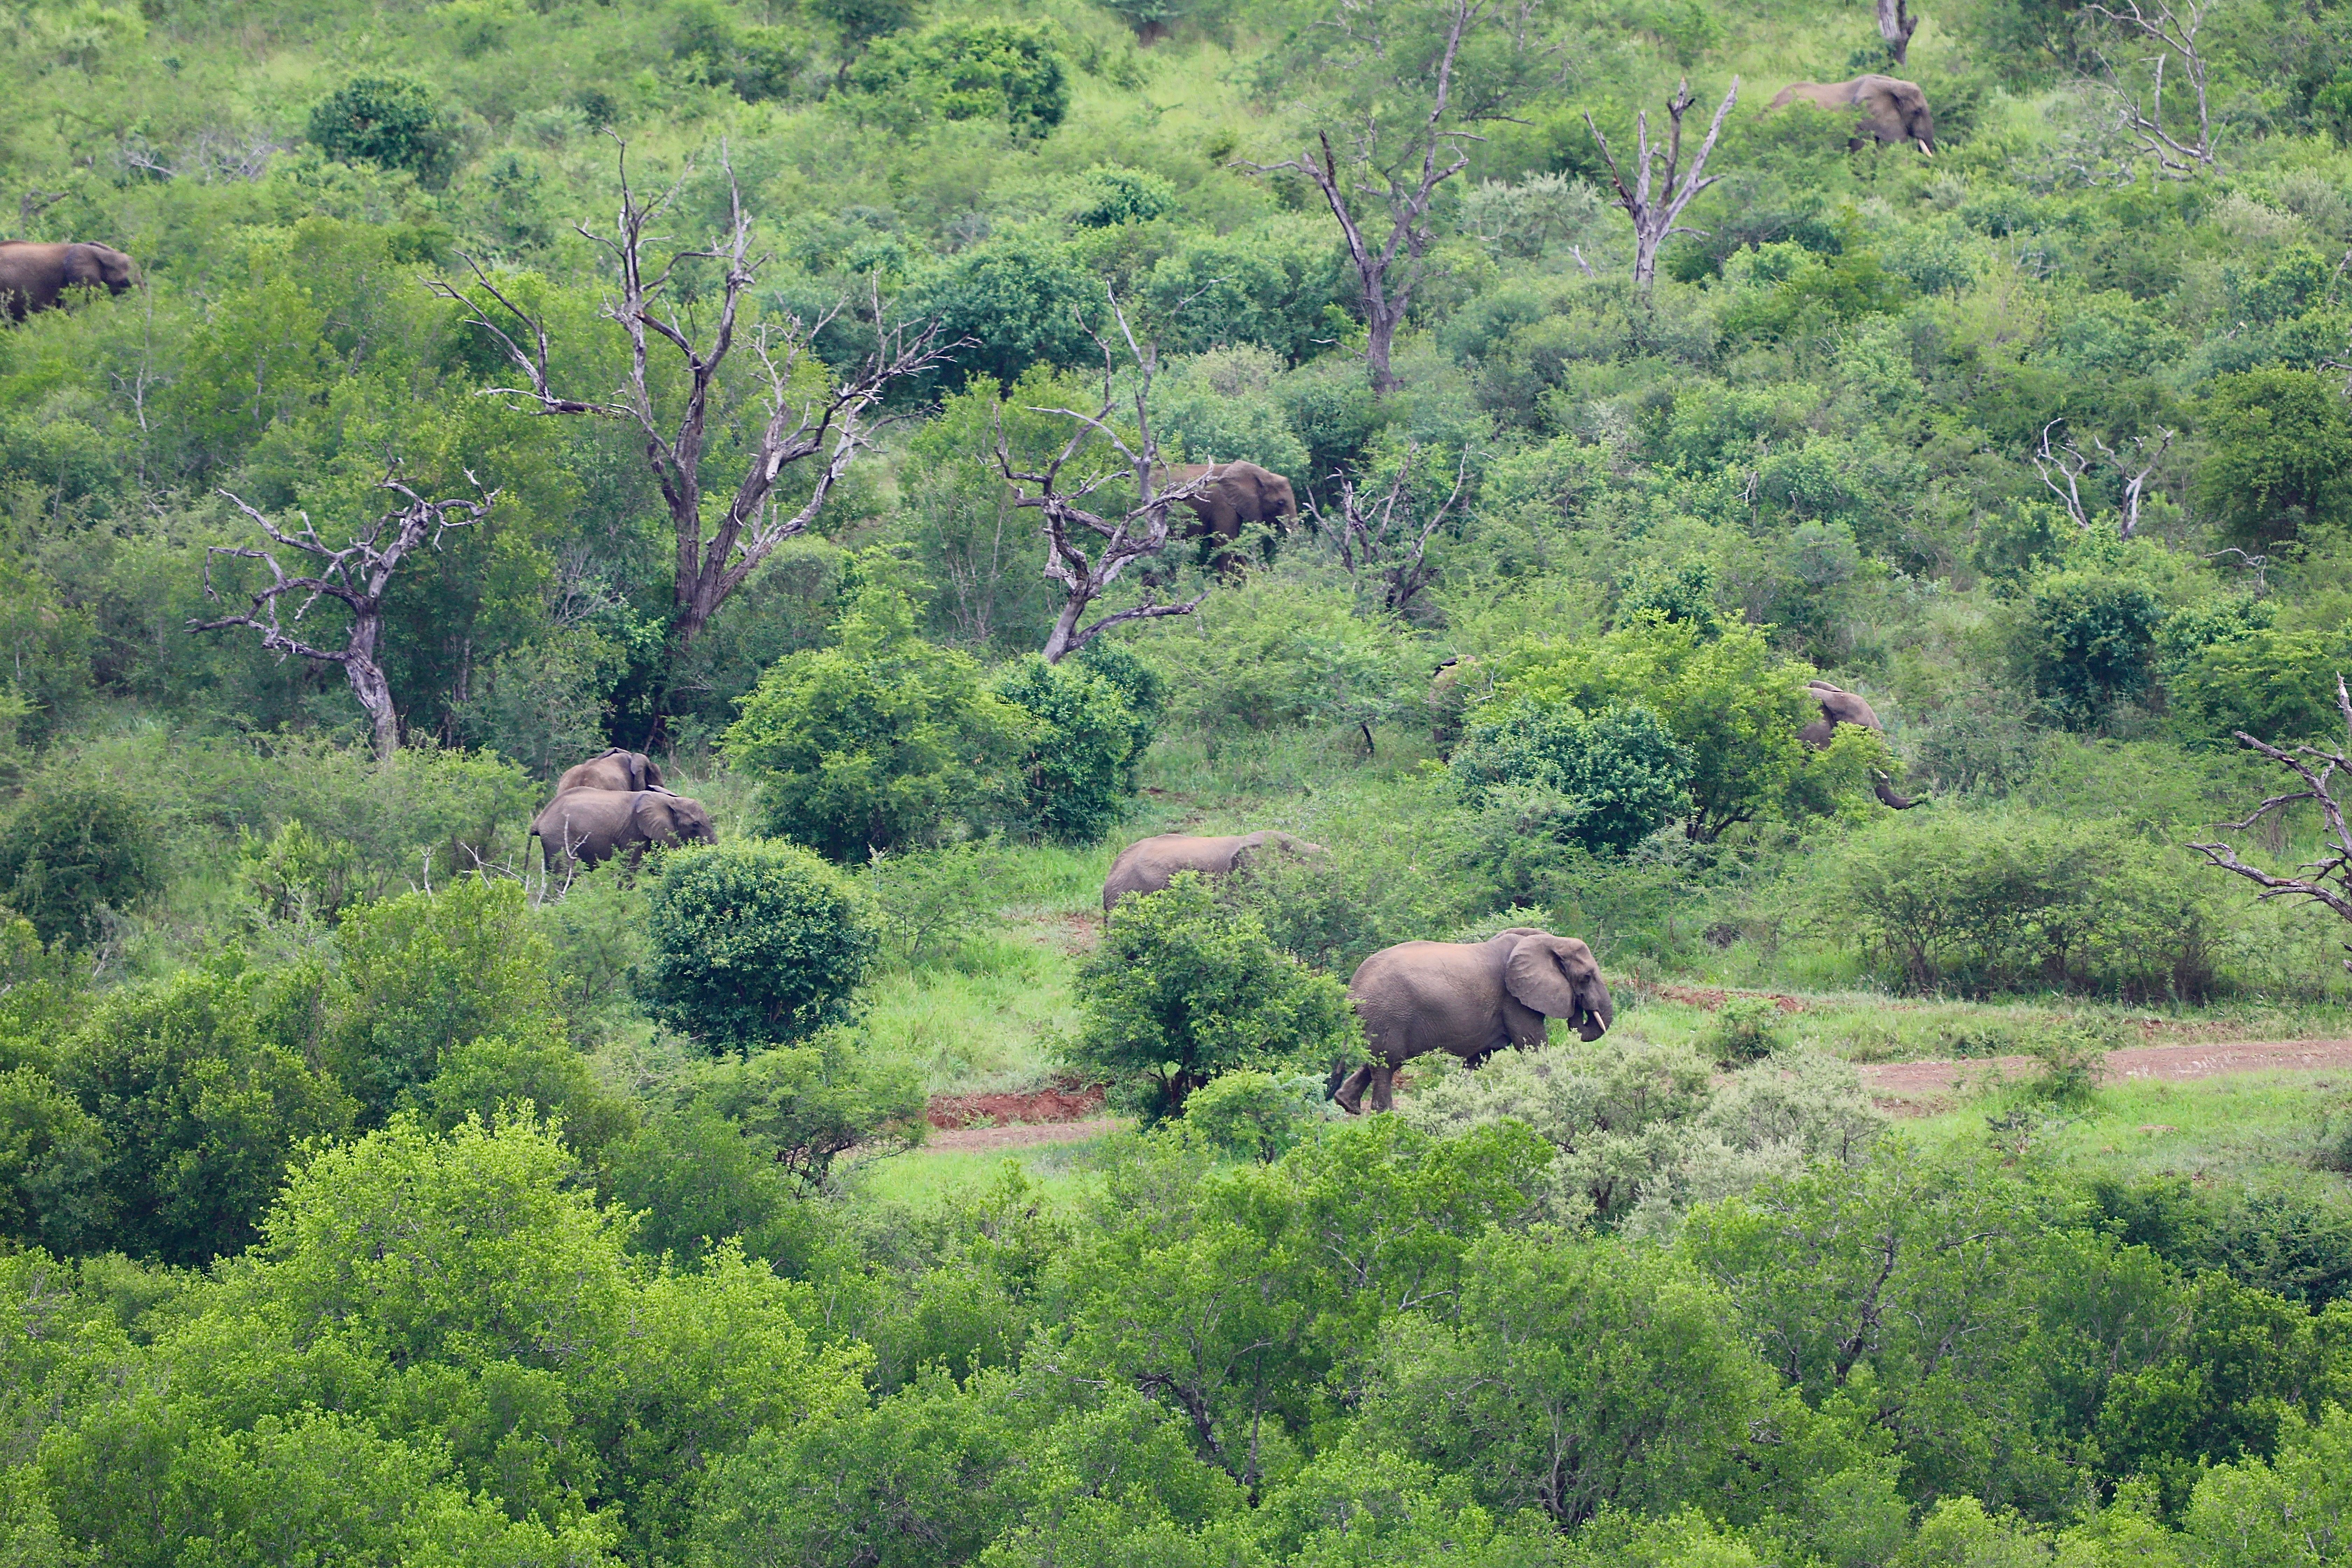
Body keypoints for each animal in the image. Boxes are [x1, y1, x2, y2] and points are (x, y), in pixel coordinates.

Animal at [530, 788, 715, 874]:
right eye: (695, 825)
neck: (669, 801)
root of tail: (539, 820)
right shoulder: (634, 831)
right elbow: (630, 868)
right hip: (559, 837)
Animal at [1337, 928, 1614, 1114]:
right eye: (1587, 977)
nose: (1580, 1006)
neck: (1549, 942)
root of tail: (1353, 989)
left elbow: (1479, 1058)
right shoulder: (1513, 1000)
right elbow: (1532, 1044)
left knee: (1380, 1060)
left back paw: (1347, 1105)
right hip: (1387, 1014)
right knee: (1387, 1061)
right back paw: (1387, 1115)